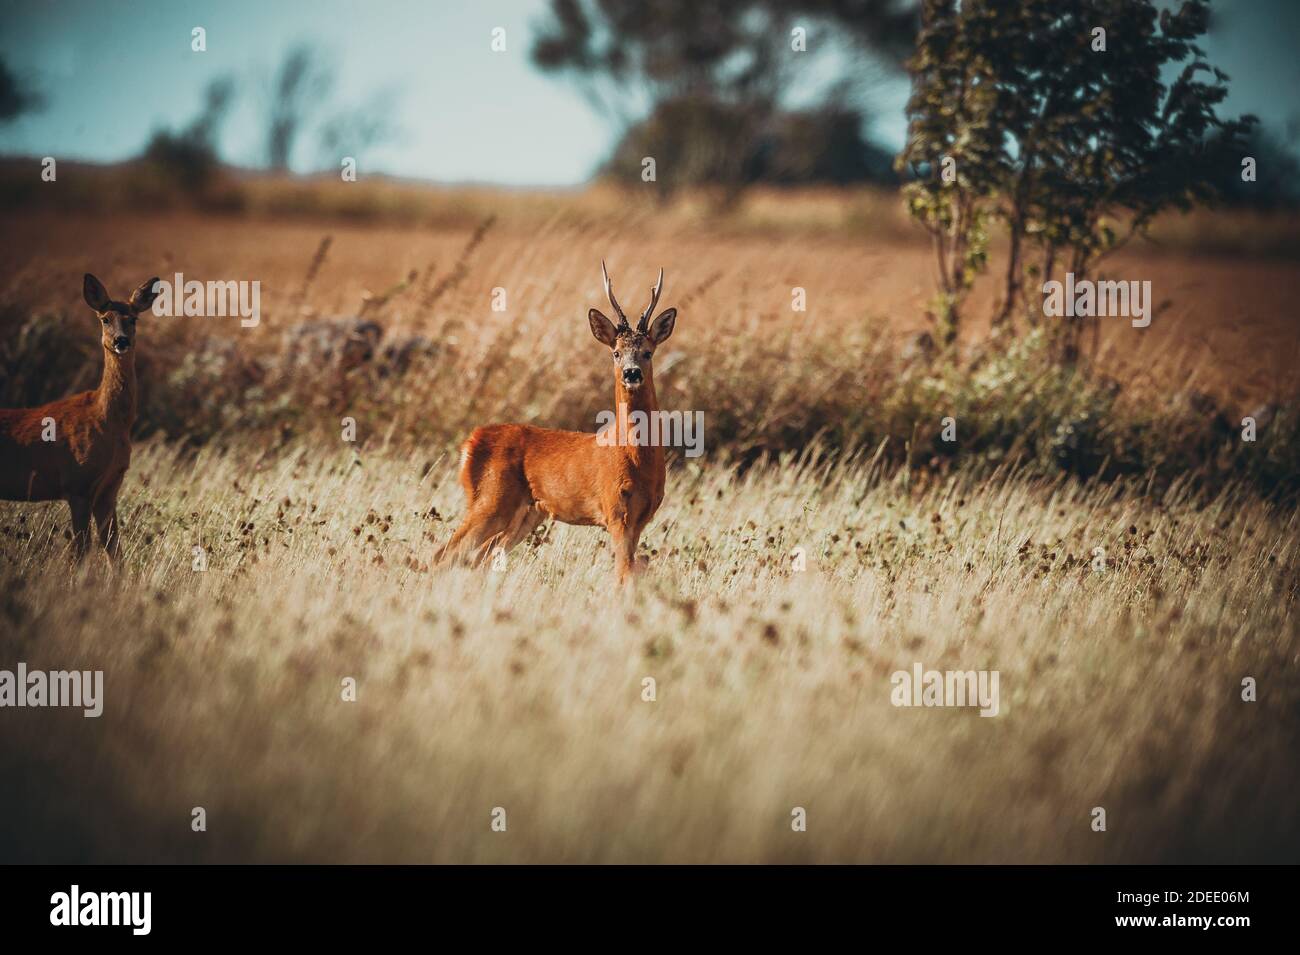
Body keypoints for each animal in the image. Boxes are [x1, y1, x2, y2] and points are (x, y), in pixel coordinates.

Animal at [0, 273, 160, 563]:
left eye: (133, 319)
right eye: (105, 318)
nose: (121, 341)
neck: (107, 420)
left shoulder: (109, 488)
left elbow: (115, 552)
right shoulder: (78, 484)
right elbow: (82, 553)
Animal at [436, 262, 678, 584]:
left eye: (648, 352)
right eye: (616, 352)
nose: (631, 373)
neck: (634, 456)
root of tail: (471, 441)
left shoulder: (641, 518)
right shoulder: (616, 511)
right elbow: (623, 575)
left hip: (526, 512)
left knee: (481, 558)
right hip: (490, 500)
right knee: (444, 554)